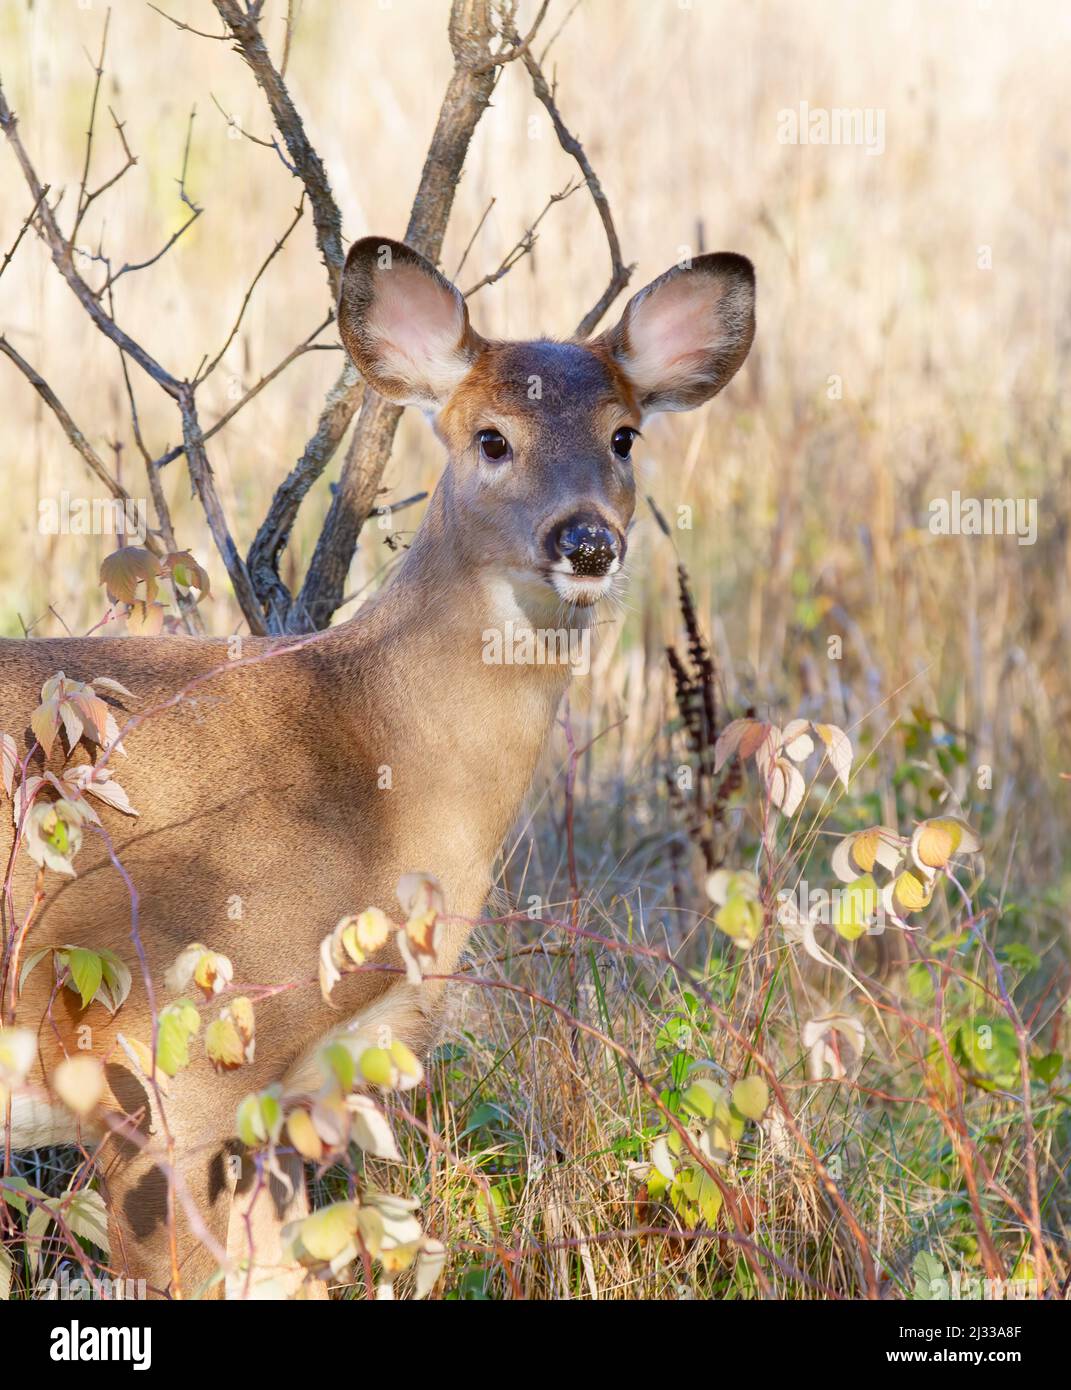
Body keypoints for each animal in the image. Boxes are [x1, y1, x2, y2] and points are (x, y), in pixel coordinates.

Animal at [1, 235, 755, 1298]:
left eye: (624, 437)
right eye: (491, 438)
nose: (586, 542)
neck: (370, 772)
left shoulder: (309, 1084)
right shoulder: (157, 1051)